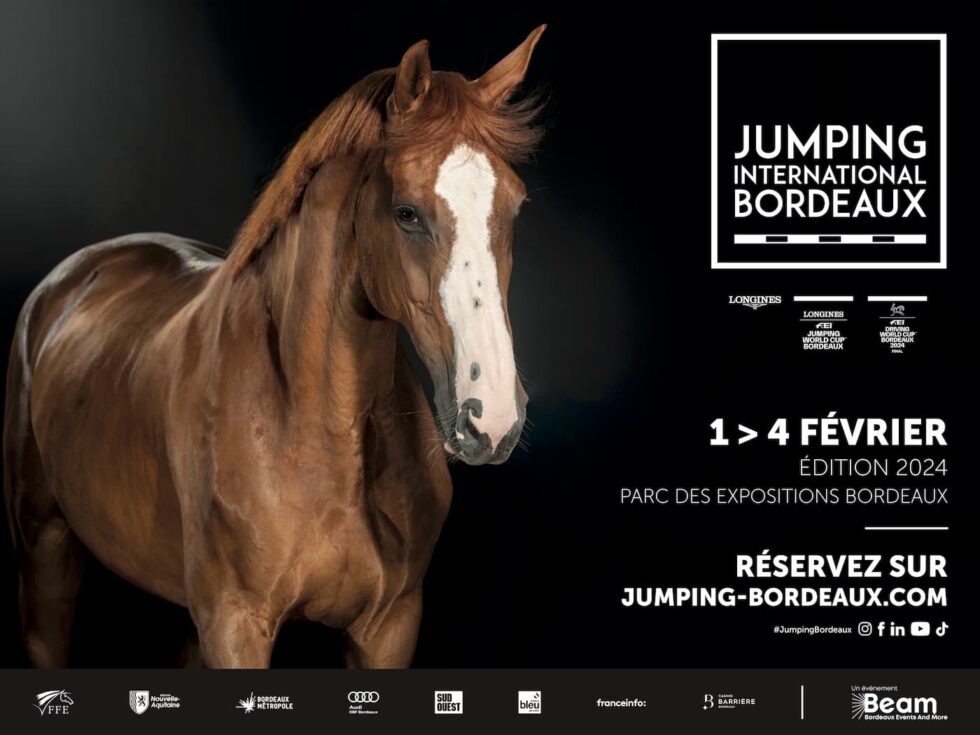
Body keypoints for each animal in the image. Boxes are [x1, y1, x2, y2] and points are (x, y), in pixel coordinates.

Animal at [3, 26, 545, 668]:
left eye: (514, 206)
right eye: (407, 213)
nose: (492, 418)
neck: (317, 431)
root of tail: (78, 272)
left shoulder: (390, 625)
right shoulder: (236, 625)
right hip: (46, 554)